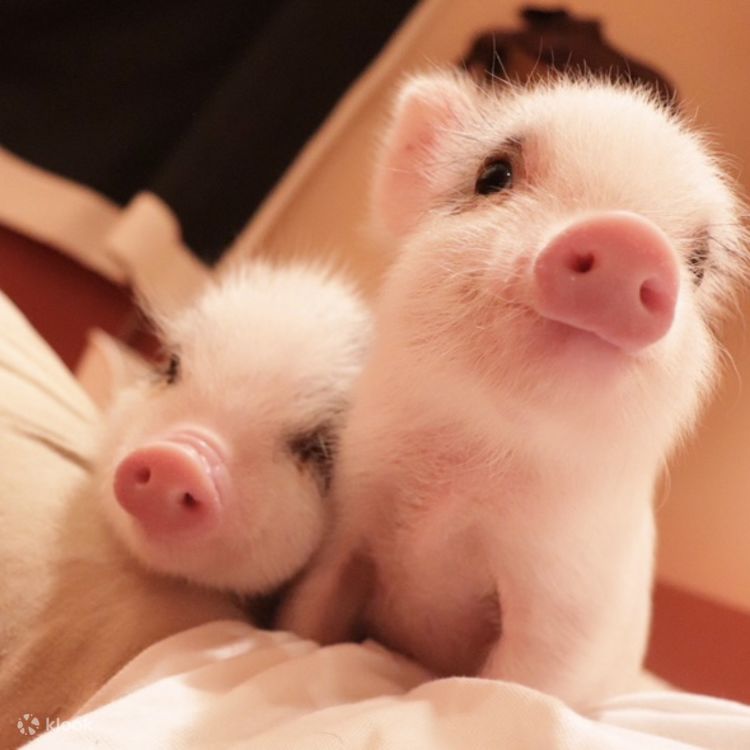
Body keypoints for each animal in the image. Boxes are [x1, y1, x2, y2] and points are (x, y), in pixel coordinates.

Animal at [279, 71, 748, 708]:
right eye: (494, 174)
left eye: (697, 265)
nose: (627, 235)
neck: (460, 482)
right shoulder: (349, 525)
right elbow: (309, 620)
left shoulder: (569, 616)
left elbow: (513, 691)